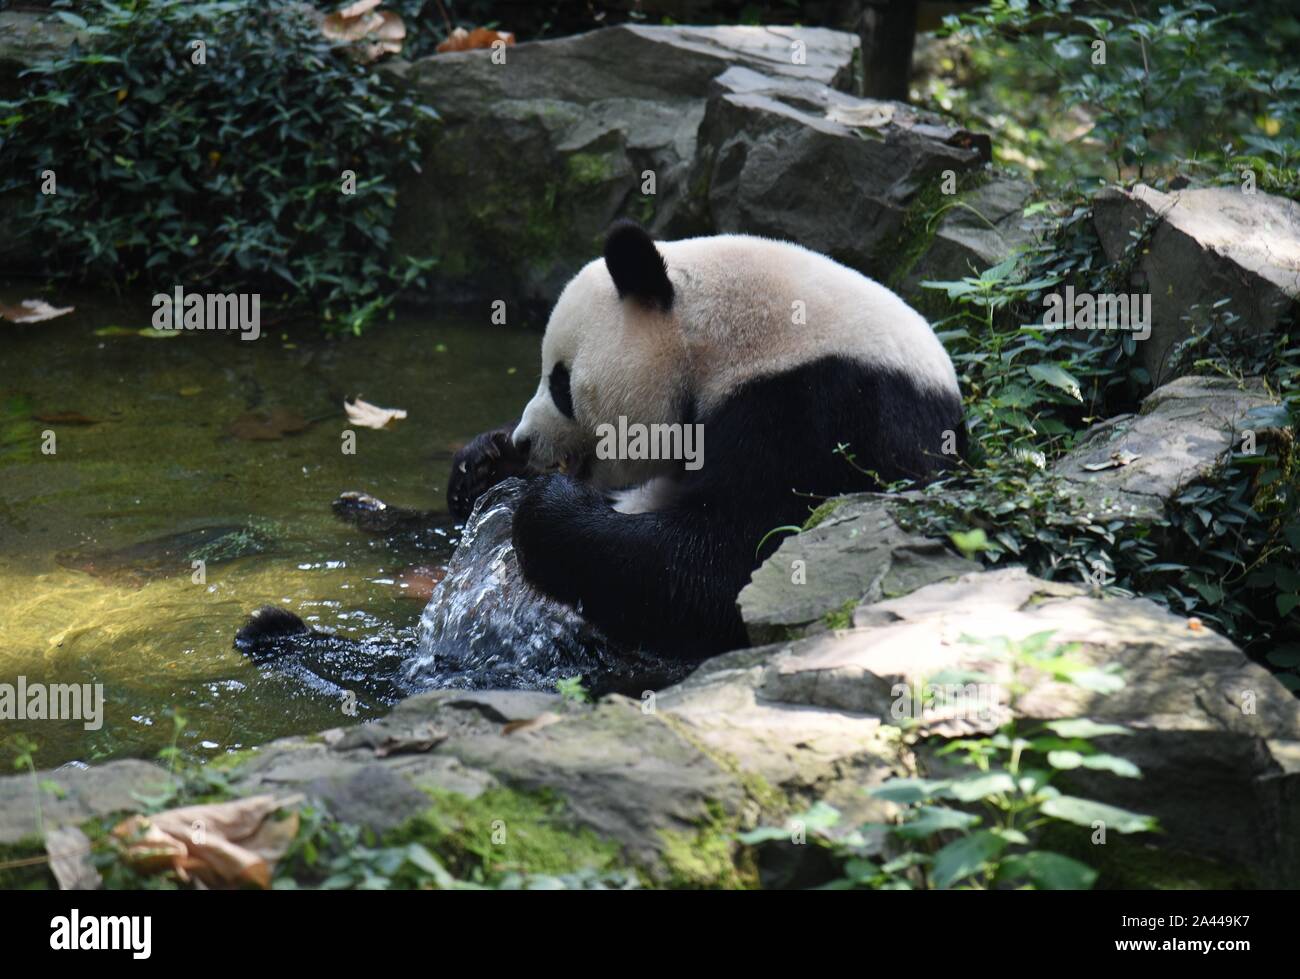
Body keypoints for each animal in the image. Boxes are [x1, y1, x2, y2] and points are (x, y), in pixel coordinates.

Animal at [448, 220, 964, 660]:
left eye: (560, 382)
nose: (526, 439)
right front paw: (483, 463)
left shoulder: (823, 414)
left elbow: (731, 565)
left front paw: (547, 505)